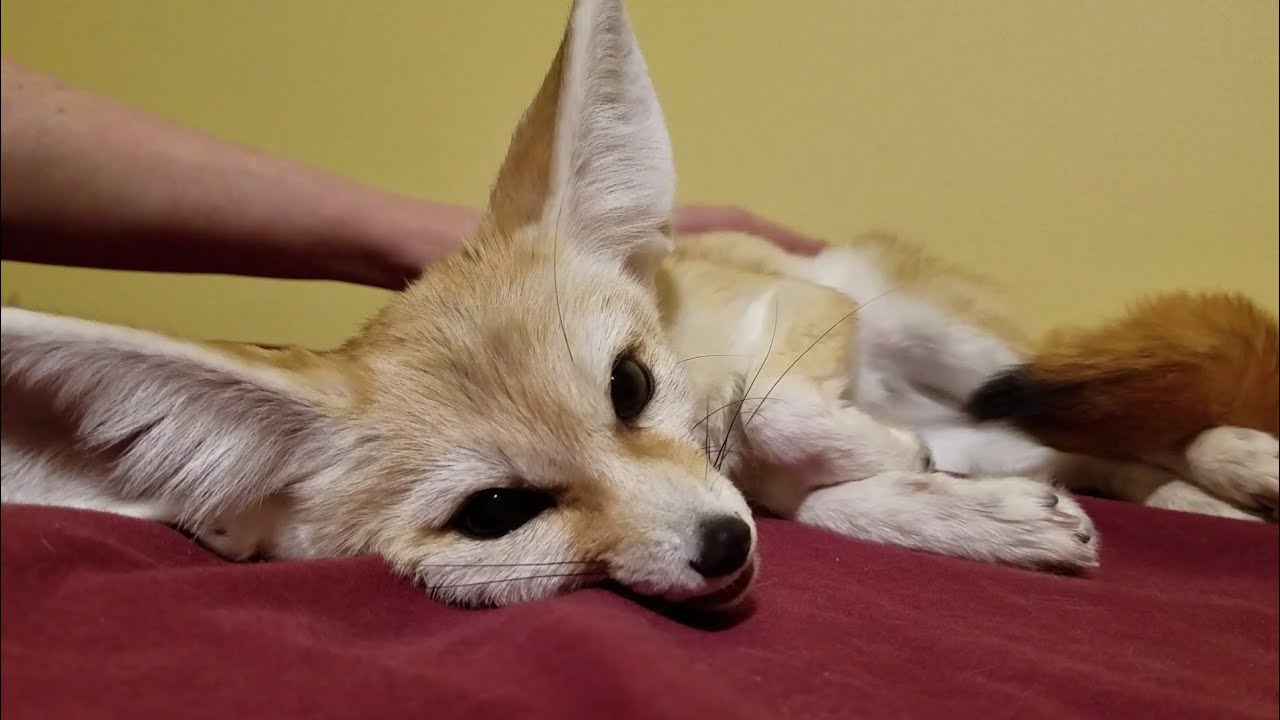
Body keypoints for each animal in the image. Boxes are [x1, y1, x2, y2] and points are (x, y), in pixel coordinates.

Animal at [1, 0, 1275, 610]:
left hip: (952, 336)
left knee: (1127, 419)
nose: (719, 546)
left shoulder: (803, 301)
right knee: (1109, 454)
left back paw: (1235, 461)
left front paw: (883, 464)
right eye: (495, 514)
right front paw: (955, 514)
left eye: (628, 385)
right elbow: (824, 502)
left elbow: (777, 416)